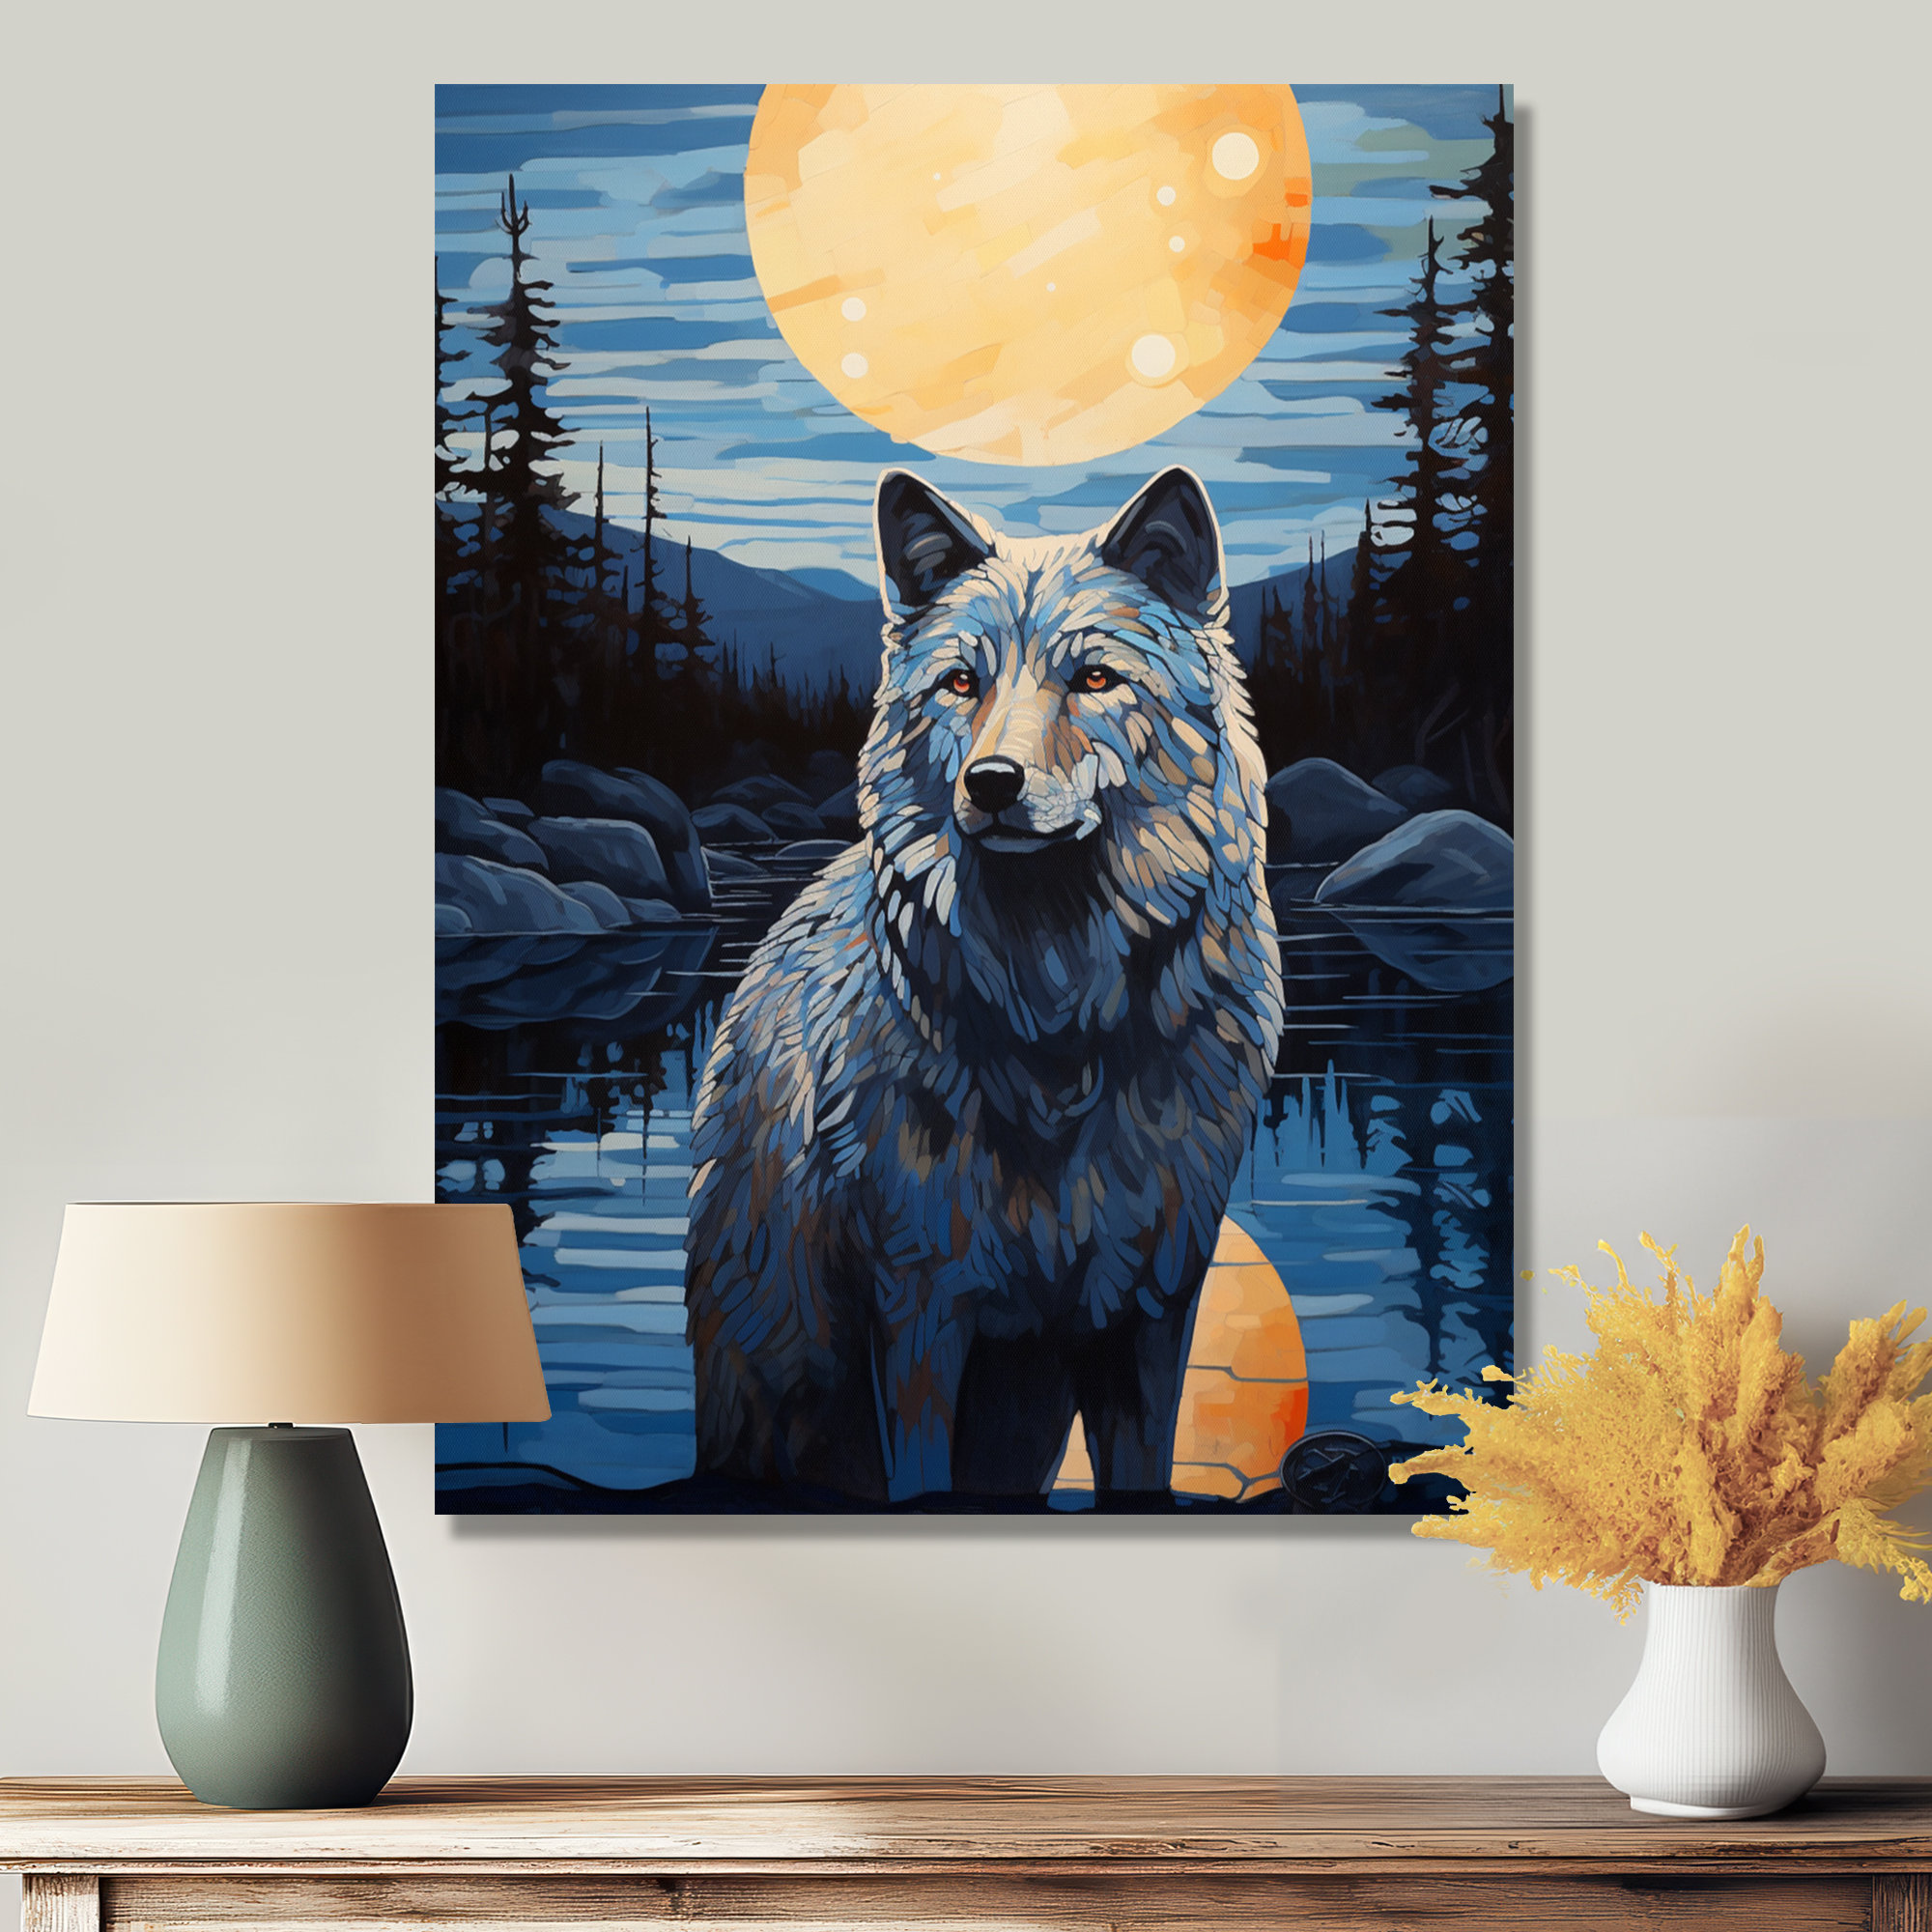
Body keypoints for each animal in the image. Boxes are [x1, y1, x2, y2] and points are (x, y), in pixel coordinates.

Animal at [683, 466, 1283, 1504]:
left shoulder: (1153, 1297)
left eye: (1093, 679)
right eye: (963, 682)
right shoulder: (919, 1299)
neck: (1057, 1021)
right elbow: (919, 1477)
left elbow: (1144, 1472)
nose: (992, 783)